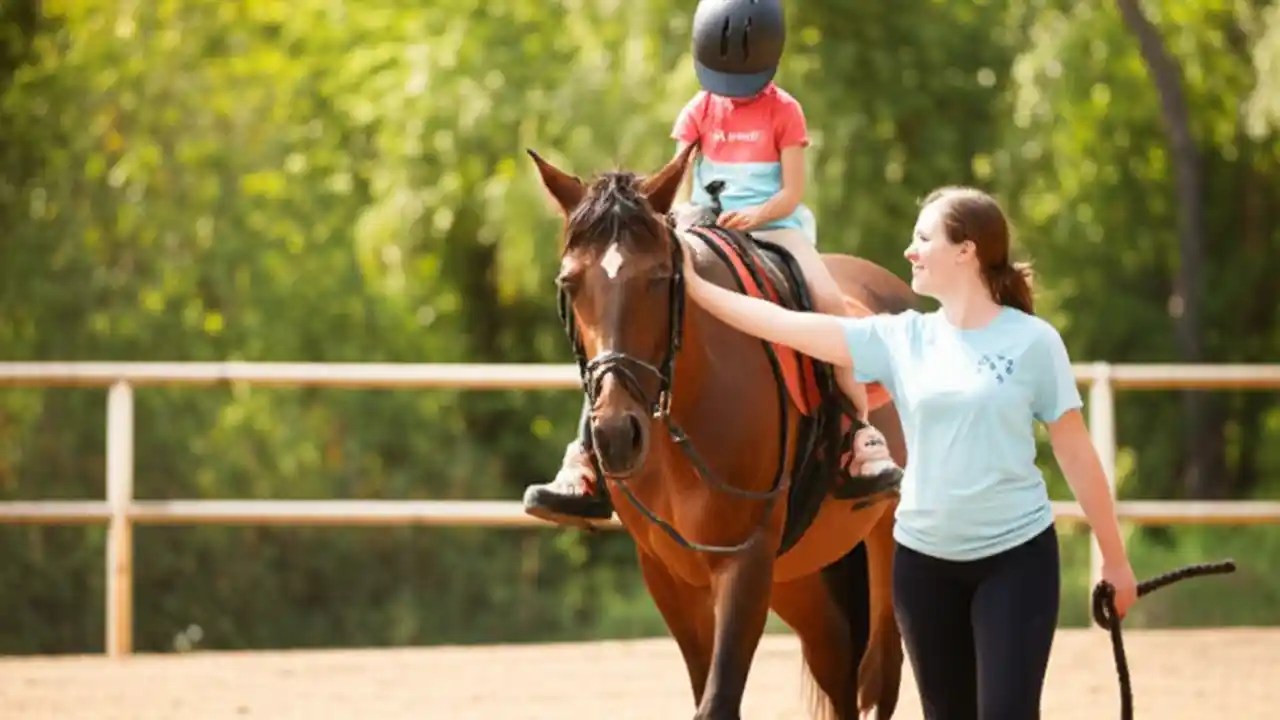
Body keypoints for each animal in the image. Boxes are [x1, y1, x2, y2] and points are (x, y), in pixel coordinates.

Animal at [528, 142, 915, 720]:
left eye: (660, 277)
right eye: (569, 283)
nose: (617, 434)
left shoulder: (745, 562)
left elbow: (718, 699)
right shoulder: (668, 574)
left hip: (885, 548)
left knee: (878, 675)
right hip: (800, 575)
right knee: (835, 663)